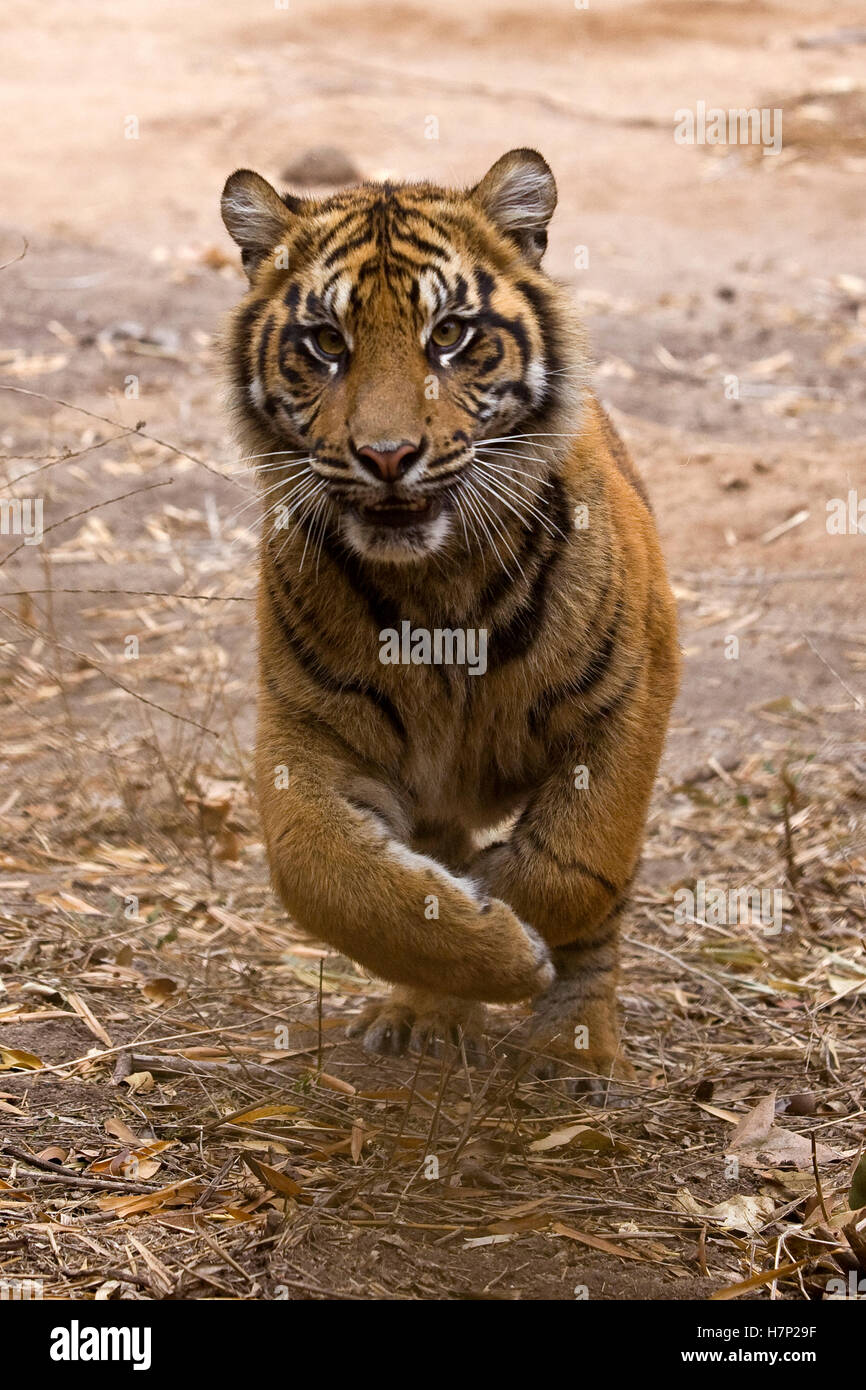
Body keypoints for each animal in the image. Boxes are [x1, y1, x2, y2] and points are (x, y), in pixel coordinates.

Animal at [219, 148, 680, 1086]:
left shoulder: (635, 688)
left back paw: (572, 1050)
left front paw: (512, 908)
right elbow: (325, 874)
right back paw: (425, 1016)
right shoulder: (308, 727)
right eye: (328, 343)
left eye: (450, 335)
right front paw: (485, 946)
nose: (388, 456)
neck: (437, 584)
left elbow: (583, 857)